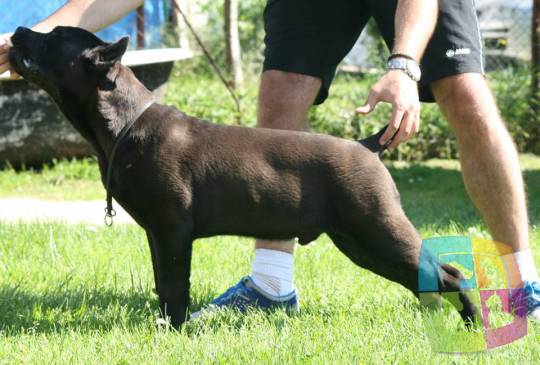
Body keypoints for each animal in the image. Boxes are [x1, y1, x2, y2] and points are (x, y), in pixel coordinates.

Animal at [9, 25, 476, 328]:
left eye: (52, 38)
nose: (15, 31)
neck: (124, 121)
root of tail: (366, 145)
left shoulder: (172, 231)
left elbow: (175, 285)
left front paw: (175, 331)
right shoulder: (157, 235)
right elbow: (162, 282)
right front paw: (164, 326)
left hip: (377, 228)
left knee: (447, 273)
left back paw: (471, 325)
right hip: (360, 242)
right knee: (430, 273)